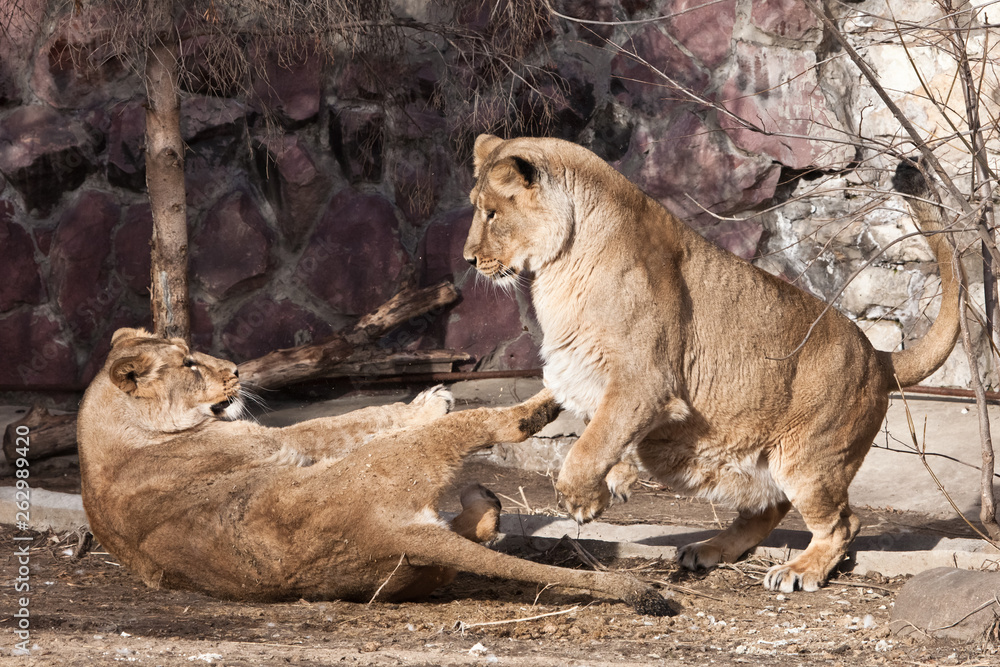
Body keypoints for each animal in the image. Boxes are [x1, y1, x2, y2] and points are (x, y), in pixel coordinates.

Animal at [77, 328, 671, 614]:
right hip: (403, 460)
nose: (238, 370)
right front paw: (429, 400)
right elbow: (350, 419)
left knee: (466, 532)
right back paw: (546, 397)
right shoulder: (286, 443)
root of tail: (381, 530)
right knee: (504, 425)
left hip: (413, 563)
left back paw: (485, 502)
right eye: (189, 365)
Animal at [463, 135, 960, 593]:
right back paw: (708, 550)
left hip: (809, 458)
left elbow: (590, 445)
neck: (560, 264)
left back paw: (798, 571)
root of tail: (878, 355)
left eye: (491, 214)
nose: (468, 259)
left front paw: (583, 500)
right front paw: (616, 478)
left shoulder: (645, 380)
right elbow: (594, 427)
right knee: (768, 510)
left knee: (842, 523)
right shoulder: (583, 368)